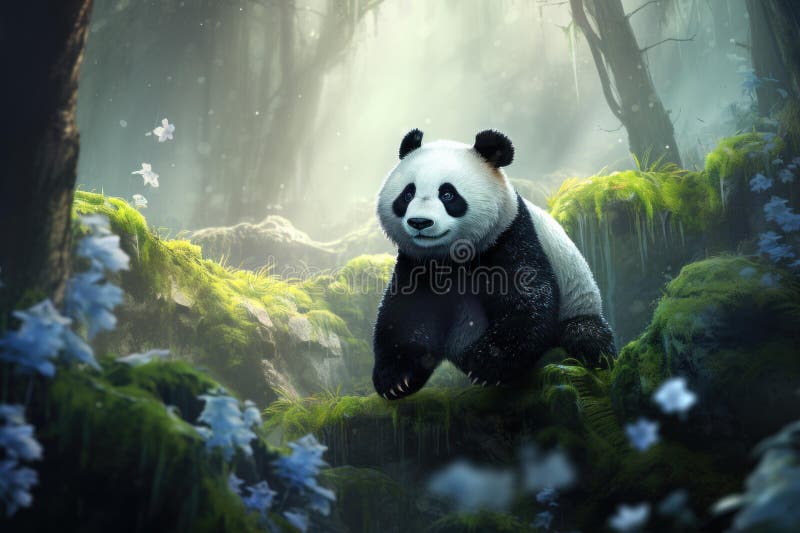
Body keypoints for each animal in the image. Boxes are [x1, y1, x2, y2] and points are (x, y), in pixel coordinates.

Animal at [373, 129, 616, 400]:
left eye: (447, 194)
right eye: (407, 194)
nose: (419, 222)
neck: (451, 256)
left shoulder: (509, 235)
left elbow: (527, 298)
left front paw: (486, 364)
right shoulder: (417, 263)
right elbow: (407, 313)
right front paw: (396, 379)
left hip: (579, 297)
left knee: (585, 329)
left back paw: (594, 351)